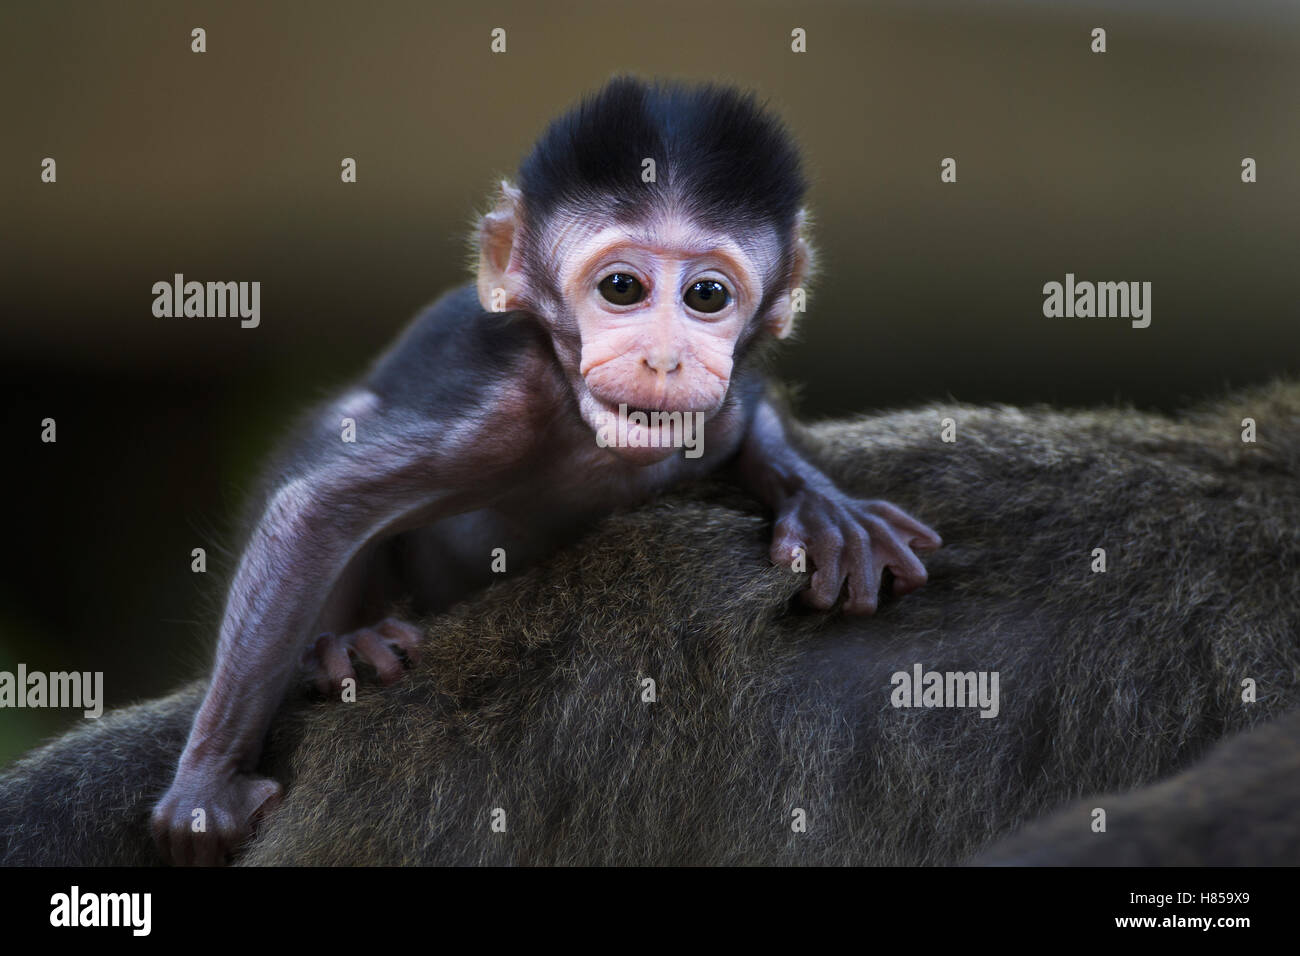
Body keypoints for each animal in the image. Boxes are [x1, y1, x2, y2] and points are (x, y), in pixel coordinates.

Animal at [147, 77, 942, 865]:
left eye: (708, 296)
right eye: (621, 288)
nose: (664, 359)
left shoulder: (715, 413)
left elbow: (753, 418)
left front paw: (828, 514)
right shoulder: (501, 415)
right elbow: (315, 514)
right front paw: (206, 788)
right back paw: (350, 644)